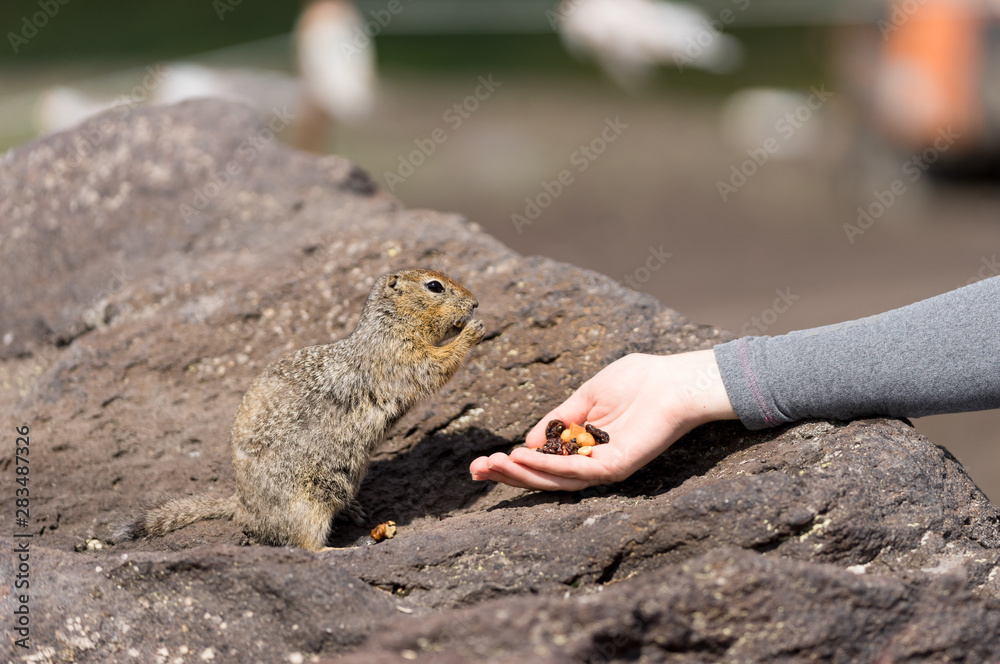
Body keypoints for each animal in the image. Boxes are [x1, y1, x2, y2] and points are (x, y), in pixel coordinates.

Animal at [118, 268, 483, 552]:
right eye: (434, 286)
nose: (476, 302)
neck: (390, 325)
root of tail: (241, 507)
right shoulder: (400, 355)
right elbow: (435, 365)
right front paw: (472, 331)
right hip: (308, 504)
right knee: (305, 544)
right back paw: (340, 549)